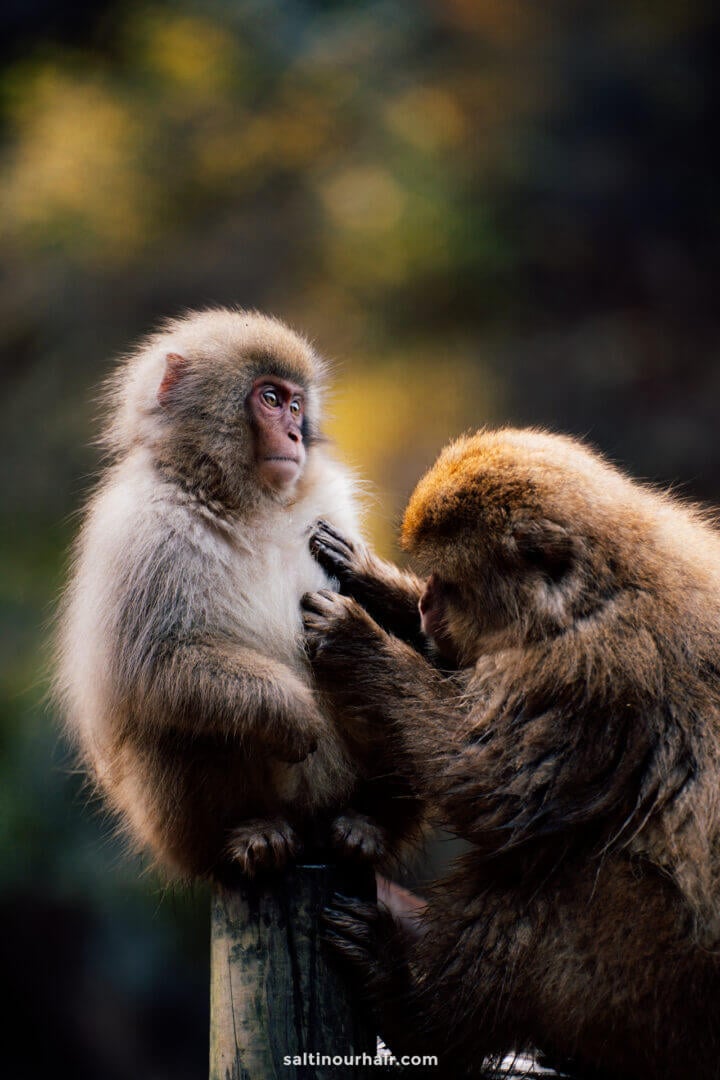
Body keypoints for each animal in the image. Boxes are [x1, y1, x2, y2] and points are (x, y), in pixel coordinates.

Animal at [54, 308, 422, 881]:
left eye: (295, 404)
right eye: (269, 398)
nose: (294, 433)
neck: (244, 499)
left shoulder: (328, 503)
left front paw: (364, 593)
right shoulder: (141, 532)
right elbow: (148, 666)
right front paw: (290, 711)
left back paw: (368, 824)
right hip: (178, 834)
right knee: (176, 716)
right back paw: (251, 834)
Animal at [302, 428, 720, 1079]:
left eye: (451, 586)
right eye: (433, 583)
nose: (426, 606)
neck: (586, 601)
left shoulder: (593, 673)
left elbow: (489, 783)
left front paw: (358, 640)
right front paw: (376, 585)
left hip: (663, 991)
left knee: (555, 880)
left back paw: (418, 1014)